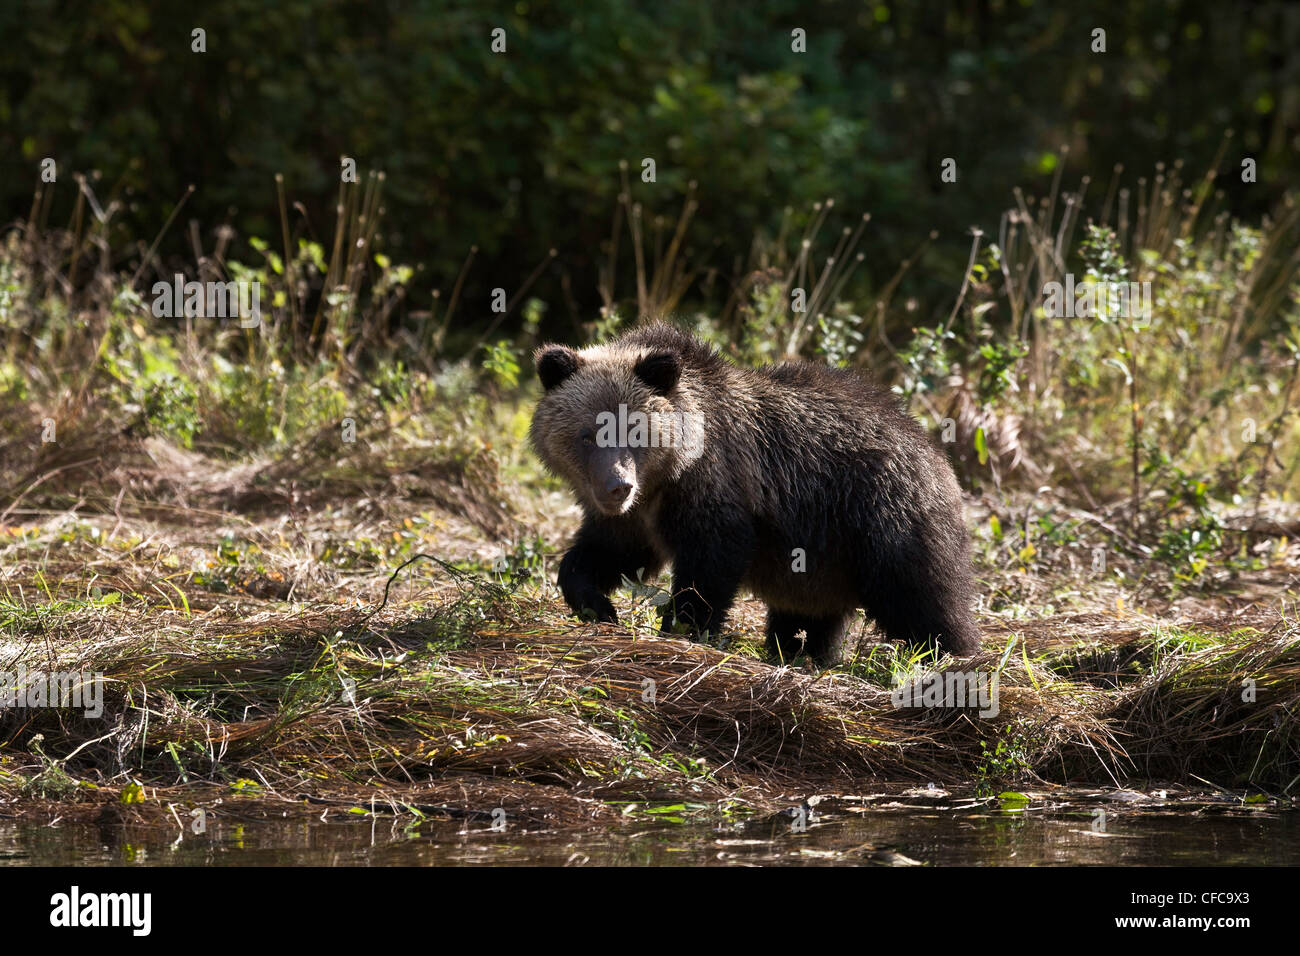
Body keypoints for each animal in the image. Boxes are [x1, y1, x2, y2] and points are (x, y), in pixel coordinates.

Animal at [529, 322, 980, 665]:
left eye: (635, 430)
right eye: (588, 434)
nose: (617, 485)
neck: (667, 476)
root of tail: (935, 450)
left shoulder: (716, 489)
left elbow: (710, 563)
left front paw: (682, 628)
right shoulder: (635, 519)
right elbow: (606, 554)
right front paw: (599, 606)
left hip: (883, 520)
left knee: (924, 599)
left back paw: (955, 658)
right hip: (821, 564)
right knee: (810, 617)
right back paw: (803, 654)